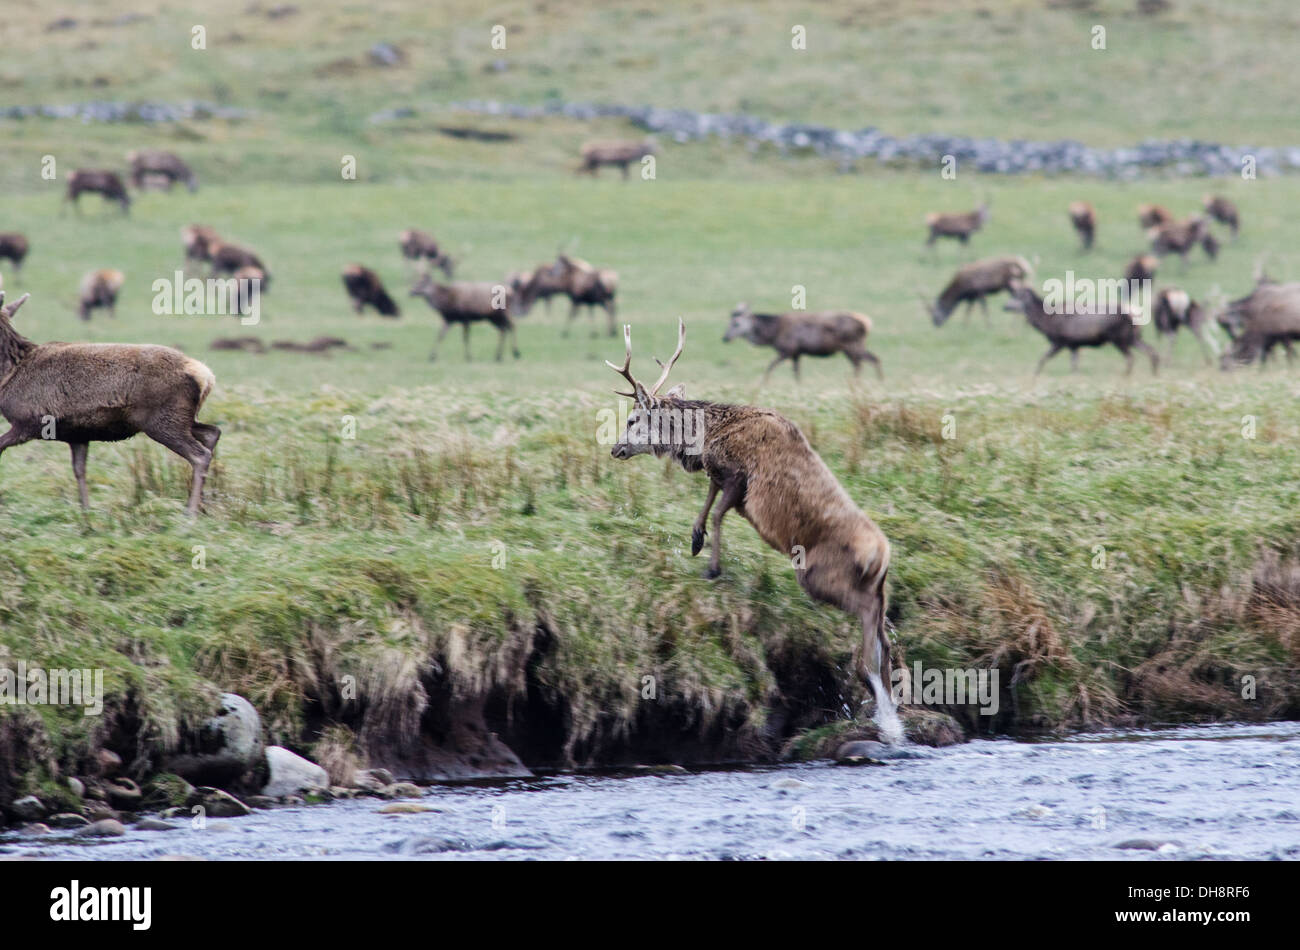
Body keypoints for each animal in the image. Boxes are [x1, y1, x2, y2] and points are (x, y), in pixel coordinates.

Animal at [0, 291, 220, 514]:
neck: (9, 374)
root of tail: (205, 375)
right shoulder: (77, 435)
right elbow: (79, 470)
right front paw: (86, 511)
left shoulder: (27, 423)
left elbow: (1, 446)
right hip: (180, 418)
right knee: (212, 433)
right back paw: (203, 503)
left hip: (163, 420)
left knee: (200, 455)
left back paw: (191, 511)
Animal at [604, 320, 899, 732]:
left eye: (632, 419)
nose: (615, 449)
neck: (707, 436)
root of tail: (883, 556)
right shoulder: (720, 473)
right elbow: (708, 501)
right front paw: (695, 540)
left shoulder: (739, 476)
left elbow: (716, 510)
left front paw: (712, 567)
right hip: (881, 587)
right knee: (886, 637)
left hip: (819, 575)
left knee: (868, 619)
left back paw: (867, 678)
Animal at [723, 303, 882, 382]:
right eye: (729, 322)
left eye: (736, 323)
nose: (725, 338)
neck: (773, 335)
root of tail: (866, 324)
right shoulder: (796, 353)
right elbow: (796, 373)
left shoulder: (788, 350)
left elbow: (770, 366)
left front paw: (764, 383)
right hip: (856, 346)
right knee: (872, 359)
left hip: (851, 346)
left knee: (862, 363)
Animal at [1005, 279, 1159, 376]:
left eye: (1017, 296)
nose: (1004, 306)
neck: (1046, 321)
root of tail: (1134, 316)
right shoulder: (1074, 344)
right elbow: (1074, 365)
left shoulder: (1060, 341)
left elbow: (1043, 358)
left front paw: (1035, 373)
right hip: (1132, 337)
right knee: (1150, 350)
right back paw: (1154, 372)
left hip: (1119, 337)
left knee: (1131, 357)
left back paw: (1126, 375)